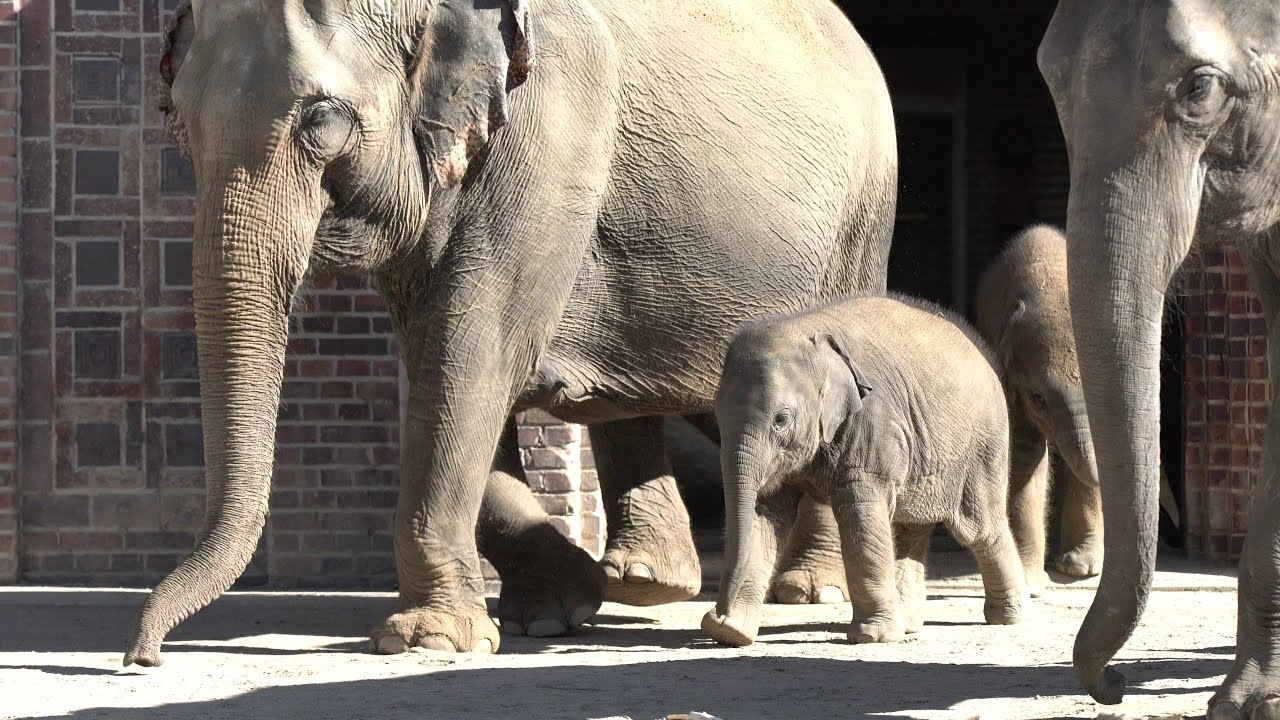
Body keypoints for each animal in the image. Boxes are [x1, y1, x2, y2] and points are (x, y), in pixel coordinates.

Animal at [123, 0, 898, 666]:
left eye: (322, 119)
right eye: (177, 121)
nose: (143, 654)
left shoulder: (552, 129)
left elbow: (473, 352)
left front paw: (427, 640)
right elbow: (436, 362)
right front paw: (553, 610)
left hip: (863, 222)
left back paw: (810, 589)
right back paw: (648, 581)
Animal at [701, 293, 1026, 647]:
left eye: (781, 420)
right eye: (716, 414)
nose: (715, 616)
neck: (808, 330)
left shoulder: (874, 423)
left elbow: (861, 511)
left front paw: (873, 637)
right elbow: (762, 513)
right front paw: (732, 633)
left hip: (984, 449)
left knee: (981, 528)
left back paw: (1008, 617)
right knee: (910, 528)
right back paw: (909, 625)